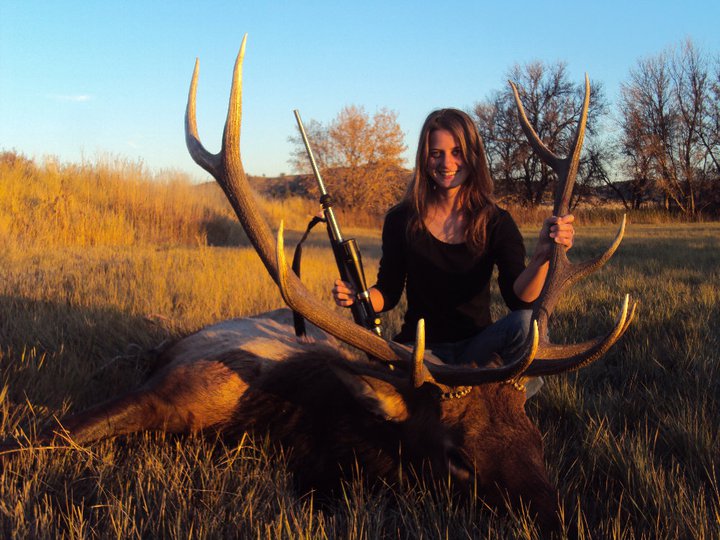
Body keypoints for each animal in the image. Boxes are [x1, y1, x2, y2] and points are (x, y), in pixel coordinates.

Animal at [1, 36, 635, 531]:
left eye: (537, 442)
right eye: (459, 459)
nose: (555, 518)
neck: (284, 424)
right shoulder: (175, 386)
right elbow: (44, 434)